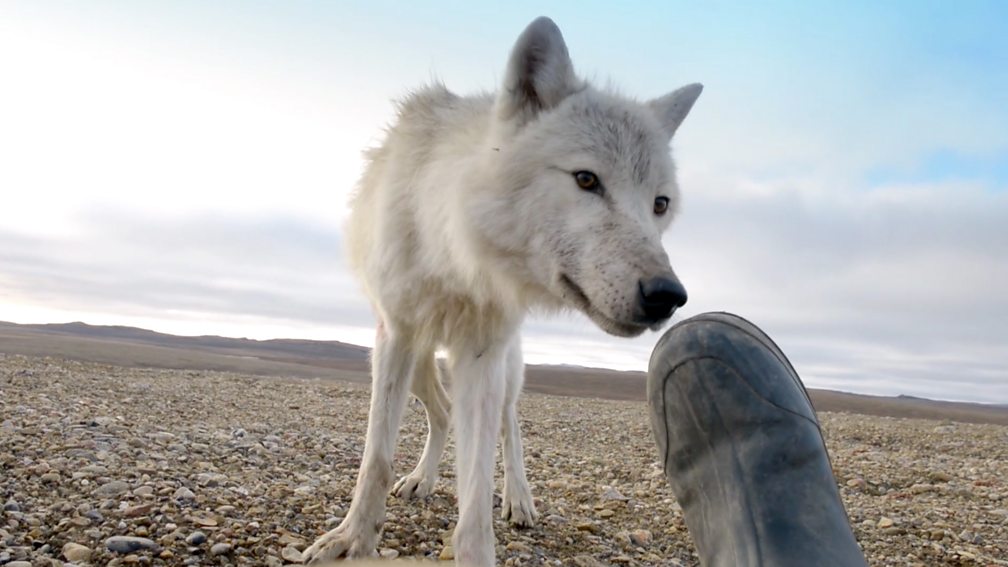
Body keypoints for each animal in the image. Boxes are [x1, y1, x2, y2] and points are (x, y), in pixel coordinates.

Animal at [303, 16, 701, 566]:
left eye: (660, 204)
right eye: (586, 179)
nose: (668, 295)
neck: (454, 256)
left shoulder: (482, 354)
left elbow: (476, 493)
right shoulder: (395, 337)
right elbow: (376, 458)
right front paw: (352, 539)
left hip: (504, 370)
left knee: (508, 429)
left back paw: (519, 499)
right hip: (420, 361)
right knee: (442, 414)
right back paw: (421, 480)